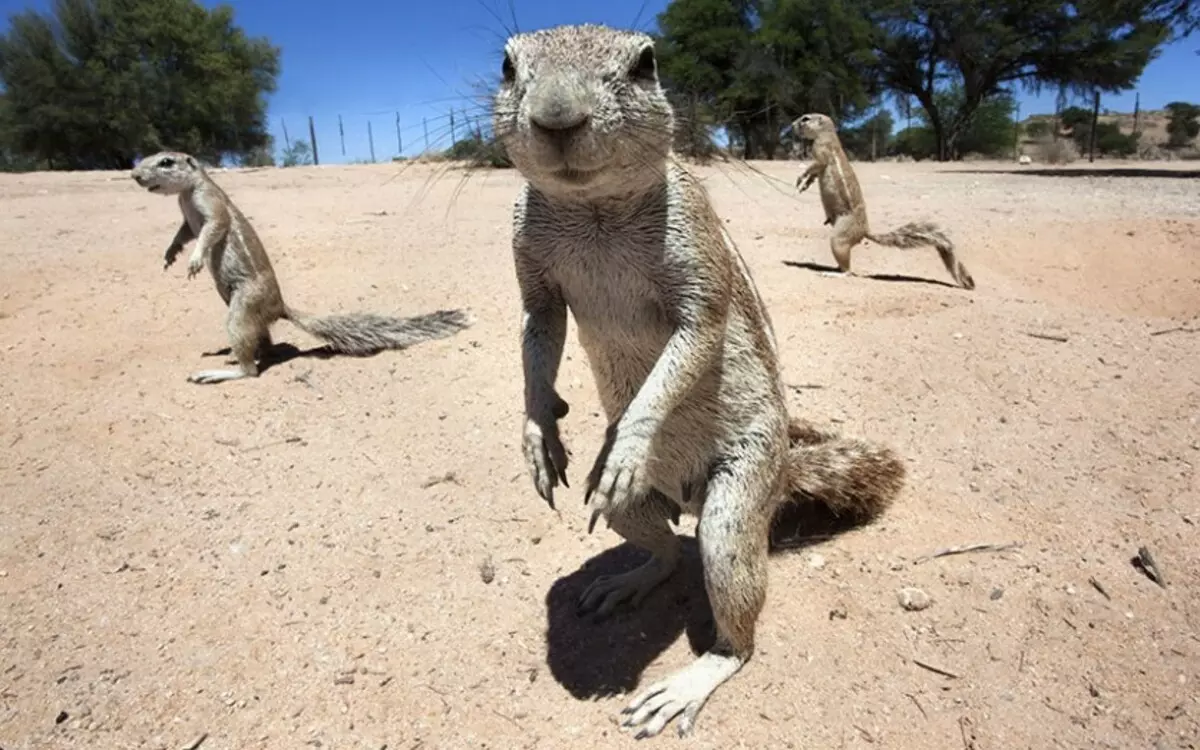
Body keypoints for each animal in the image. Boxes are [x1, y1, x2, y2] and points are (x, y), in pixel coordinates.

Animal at [130, 152, 468, 386]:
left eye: (165, 161)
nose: (134, 174)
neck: (187, 192)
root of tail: (280, 307)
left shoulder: (211, 206)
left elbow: (211, 230)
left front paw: (195, 260)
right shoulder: (187, 220)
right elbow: (183, 234)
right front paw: (170, 254)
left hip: (241, 308)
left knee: (251, 370)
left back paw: (219, 371)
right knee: (263, 343)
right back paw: (236, 354)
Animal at [492, 23, 902, 739]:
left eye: (645, 64)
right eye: (508, 67)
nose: (557, 116)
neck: (593, 207)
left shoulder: (696, 263)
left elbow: (691, 343)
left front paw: (630, 443)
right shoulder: (531, 271)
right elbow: (536, 340)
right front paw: (538, 434)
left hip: (735, 513)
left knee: (736, 628)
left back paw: (686, 683)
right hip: (627, 510)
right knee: (666, 551)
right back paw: (628, 577)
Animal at [796, 111, 974, 289]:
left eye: (805, 118)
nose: (792, 125)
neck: (826, 134)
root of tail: (864, 232)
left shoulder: (821, 151)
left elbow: (814, 165)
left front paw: (800, 178)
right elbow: (814, 174)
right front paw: (805, 184)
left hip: (839, 238)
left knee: (848, 271)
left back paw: (834, 273)